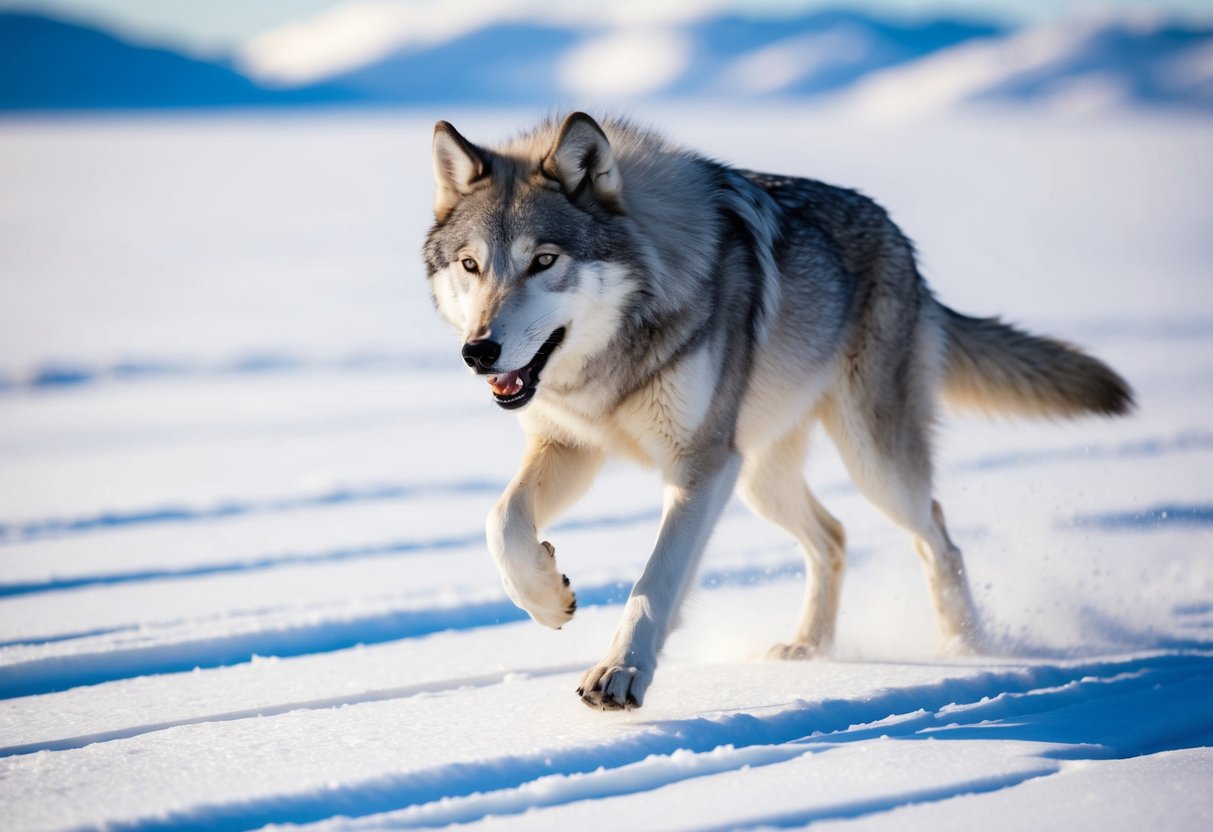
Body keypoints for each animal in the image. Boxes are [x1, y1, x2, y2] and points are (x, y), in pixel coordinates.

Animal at [422, 112, 1132, 711]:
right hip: (760, 479)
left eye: (544, 261)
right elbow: (501, 520)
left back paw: (965, 648)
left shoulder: (701, 466)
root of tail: (905, 247)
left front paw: (620, 672)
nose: (478, 352)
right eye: (472, 265)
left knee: (937, 533)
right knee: (835, 537)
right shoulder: (572, 447)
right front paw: (546, 599)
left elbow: (656, 580)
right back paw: (809, 648)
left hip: (869, 464)